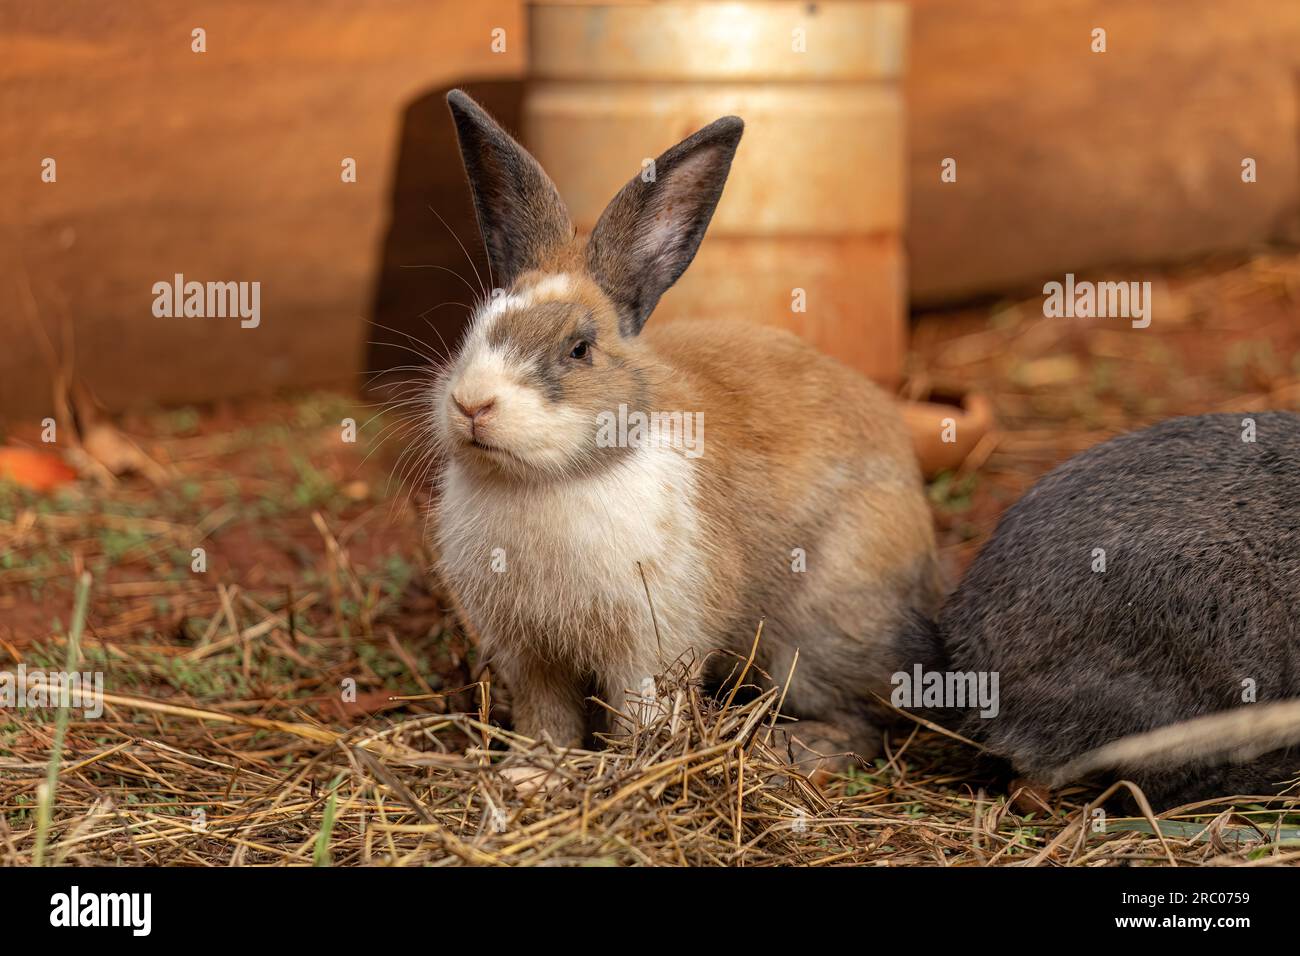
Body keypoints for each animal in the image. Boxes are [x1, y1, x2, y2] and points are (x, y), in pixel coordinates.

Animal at [429, 90, 941, 769]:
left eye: (579, 350)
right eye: (476, 326)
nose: (472, 404)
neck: (550, 480)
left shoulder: (652, 645)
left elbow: (641, 714)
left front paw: (629, 768)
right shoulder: (530, 658)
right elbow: (547, 720)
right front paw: (532, 774)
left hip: (821, 635)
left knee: (865, 718)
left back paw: (796, 750)